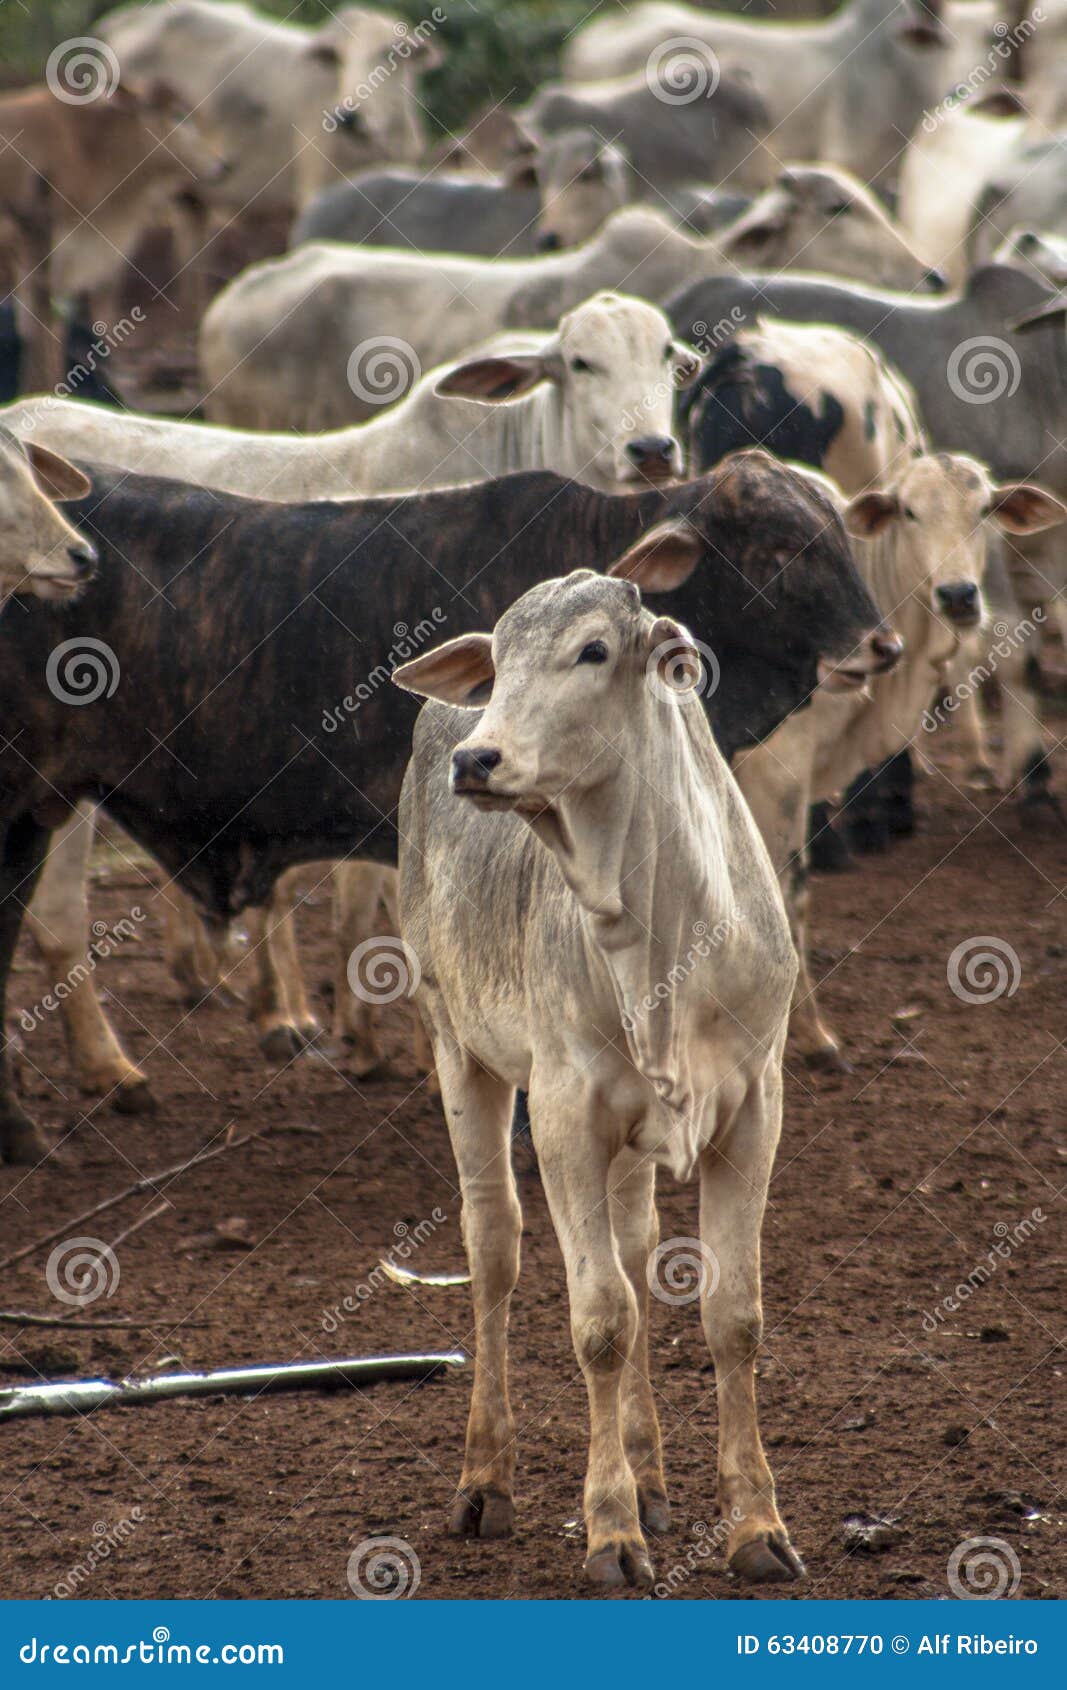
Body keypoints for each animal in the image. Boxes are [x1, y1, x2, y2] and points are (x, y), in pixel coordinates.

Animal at [393, 567, 804, 1588]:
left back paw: (654, 1482)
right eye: (498, 659)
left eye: (592, 651)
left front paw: (755, 1526)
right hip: (457, 1047)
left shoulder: (754, 1109)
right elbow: (600, 1319)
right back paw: (486, 1482)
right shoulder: (565, 1112)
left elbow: (731, 1315)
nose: (478, 757)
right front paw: (610, 1530)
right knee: (494, 1247)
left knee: (631, 1242)